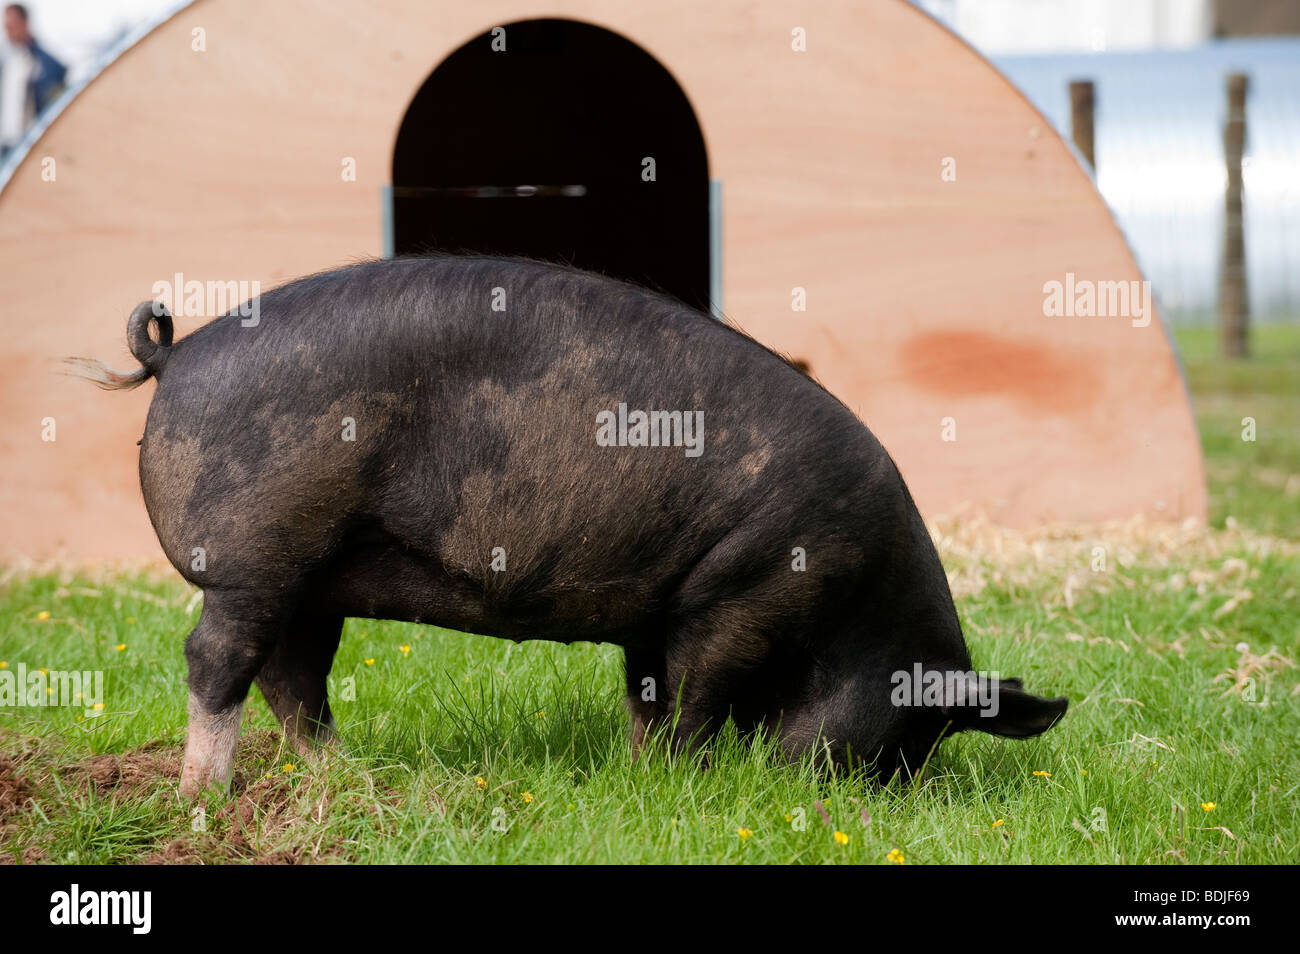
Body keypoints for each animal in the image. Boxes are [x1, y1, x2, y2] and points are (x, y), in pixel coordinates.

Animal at [71, 256, 1066, 795]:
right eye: (916, 732)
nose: (859, 802)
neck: (859, 605)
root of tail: (177, 354)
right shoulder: (746, 591)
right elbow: (699, 695)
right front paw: (689, 781)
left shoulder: (663, 608)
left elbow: (649, 697)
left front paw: (645, 780)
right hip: (257, 550)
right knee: (218, 660)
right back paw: (205, 797)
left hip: (310, 579)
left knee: (294, 676)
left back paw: (347, 777)